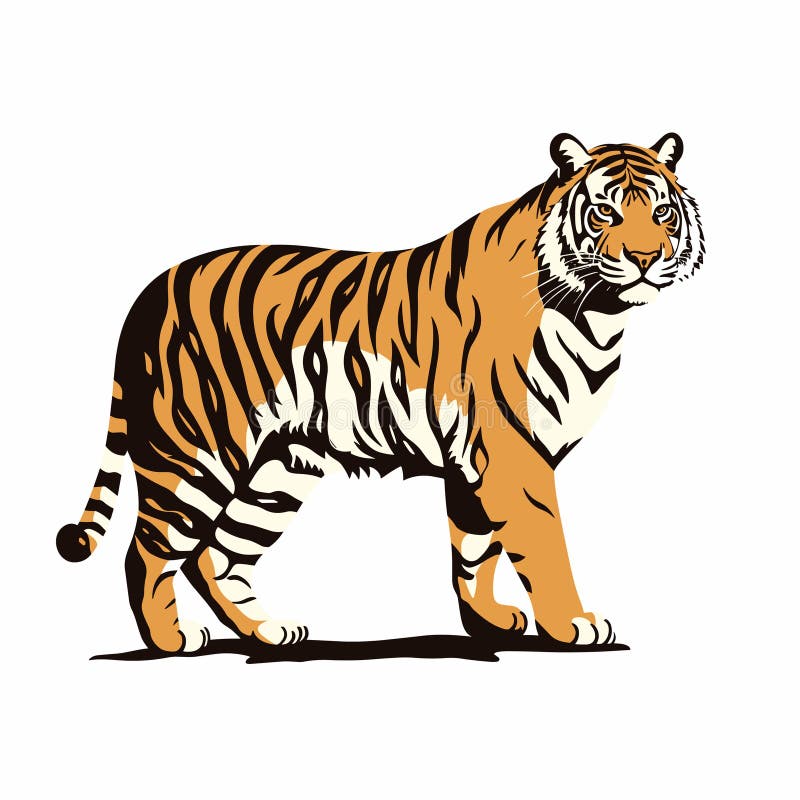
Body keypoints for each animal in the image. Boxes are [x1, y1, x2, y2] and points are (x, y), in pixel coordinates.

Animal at [57, 133, 703, 652]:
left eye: (662, 214)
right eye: (605, 213)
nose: (645, 258)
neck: (598, 315)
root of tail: (147, 292)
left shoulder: (477, 461)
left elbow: (475, 549)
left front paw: (489, 622)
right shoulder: (513, 453)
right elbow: (543, 545)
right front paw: (574, 624)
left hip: (279, 469)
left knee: (218, 554)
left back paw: (270, 632)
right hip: (196, 452)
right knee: (149, 549)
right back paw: (172, 640)